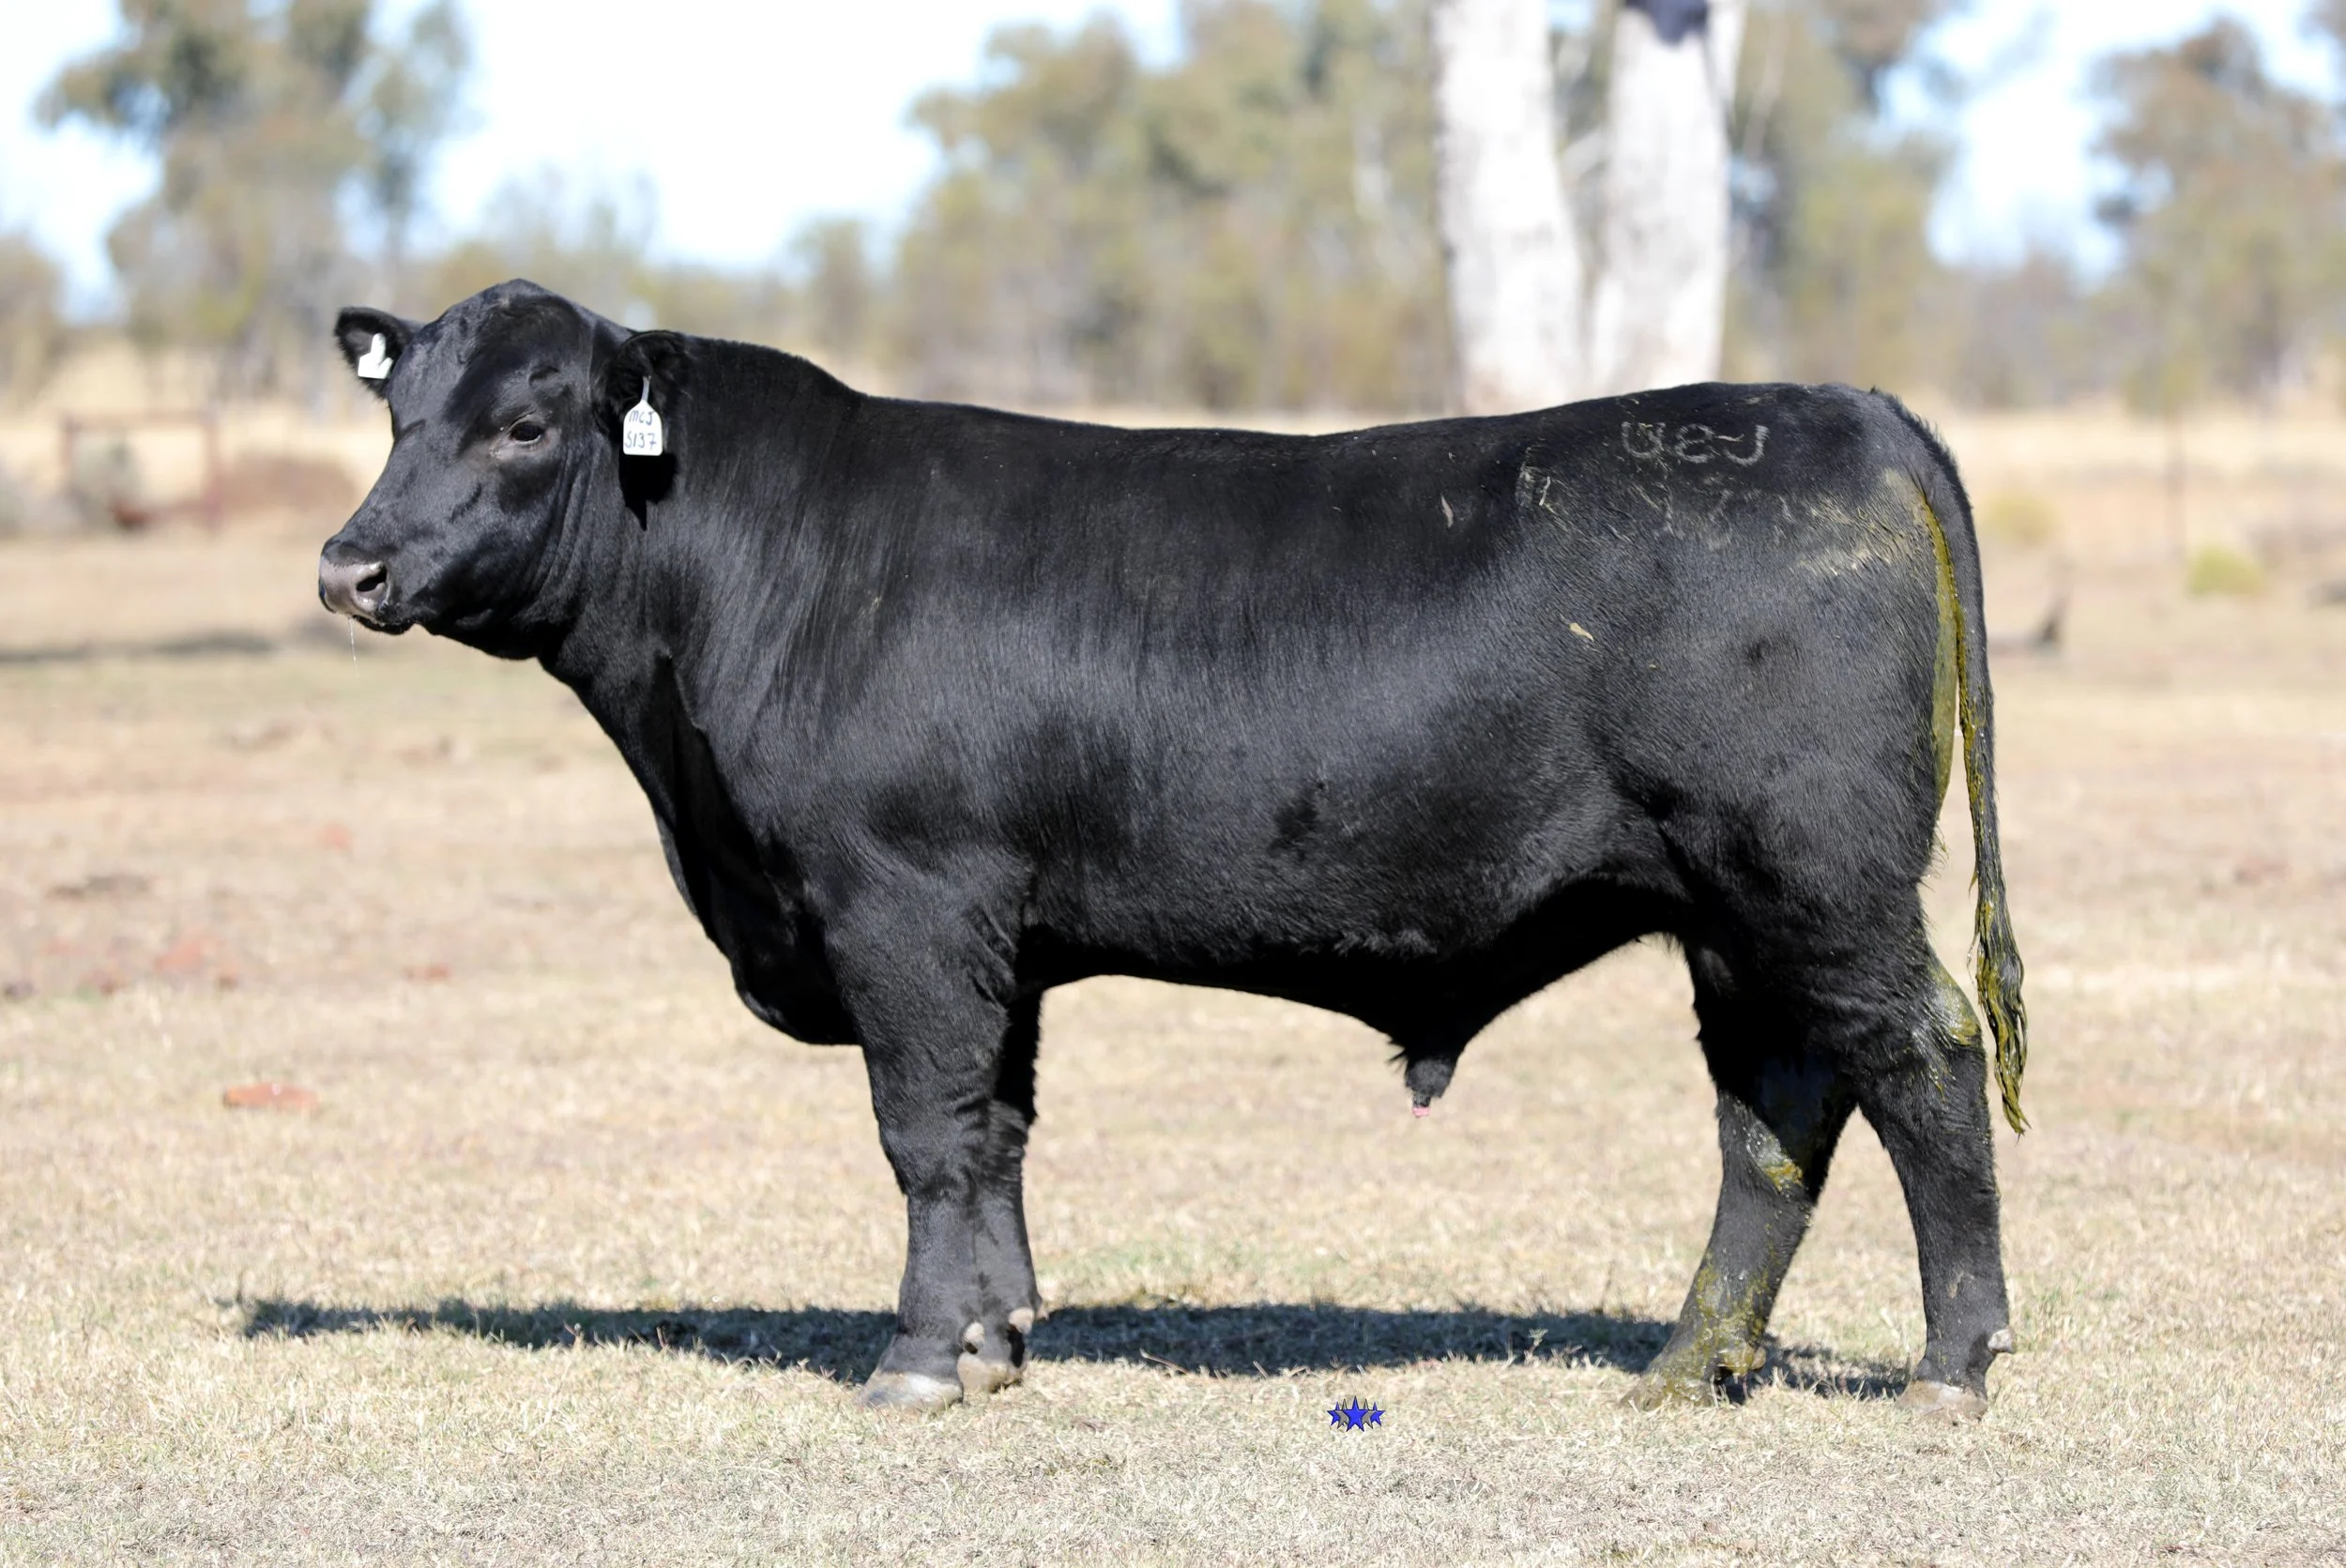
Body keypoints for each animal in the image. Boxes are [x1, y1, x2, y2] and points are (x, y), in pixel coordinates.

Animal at [319, 280, 2028, 1418]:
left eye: (526, 422)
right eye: (395, 418)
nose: (351, 564)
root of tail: (1841, 410)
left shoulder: (906, 907)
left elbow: (924, 1132)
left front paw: (919, 1359)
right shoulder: (998, 938)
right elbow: (997, 1133)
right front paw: (999, 1339)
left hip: (1816, 879)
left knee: (1922, 1058)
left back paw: (1952, 1362)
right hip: (1733, 914)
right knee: (1774, 1118)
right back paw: (1688, 1360)